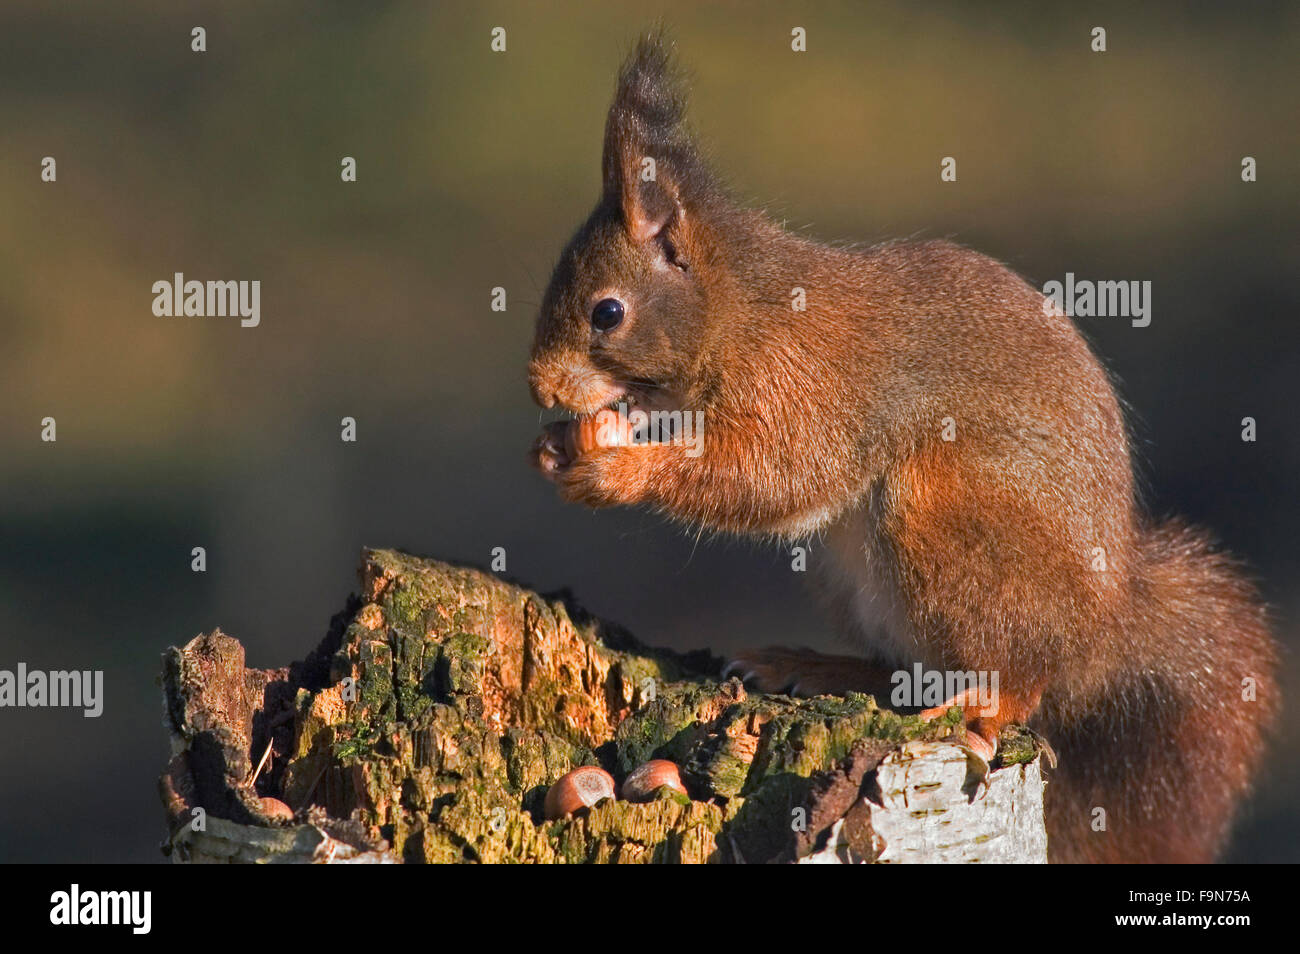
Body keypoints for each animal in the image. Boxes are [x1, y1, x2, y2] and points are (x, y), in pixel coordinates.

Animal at [526, 34, 1277, 863]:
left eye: (608, 313)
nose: (538, 385)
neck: (737, 312)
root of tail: (1102, 635)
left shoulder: (806, 386)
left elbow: (776, 474)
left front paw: (615, 467)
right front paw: (560, 450)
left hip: (941, 518)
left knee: (1019, 676)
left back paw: (987, 701)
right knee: (903, 672)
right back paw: (813, 668)